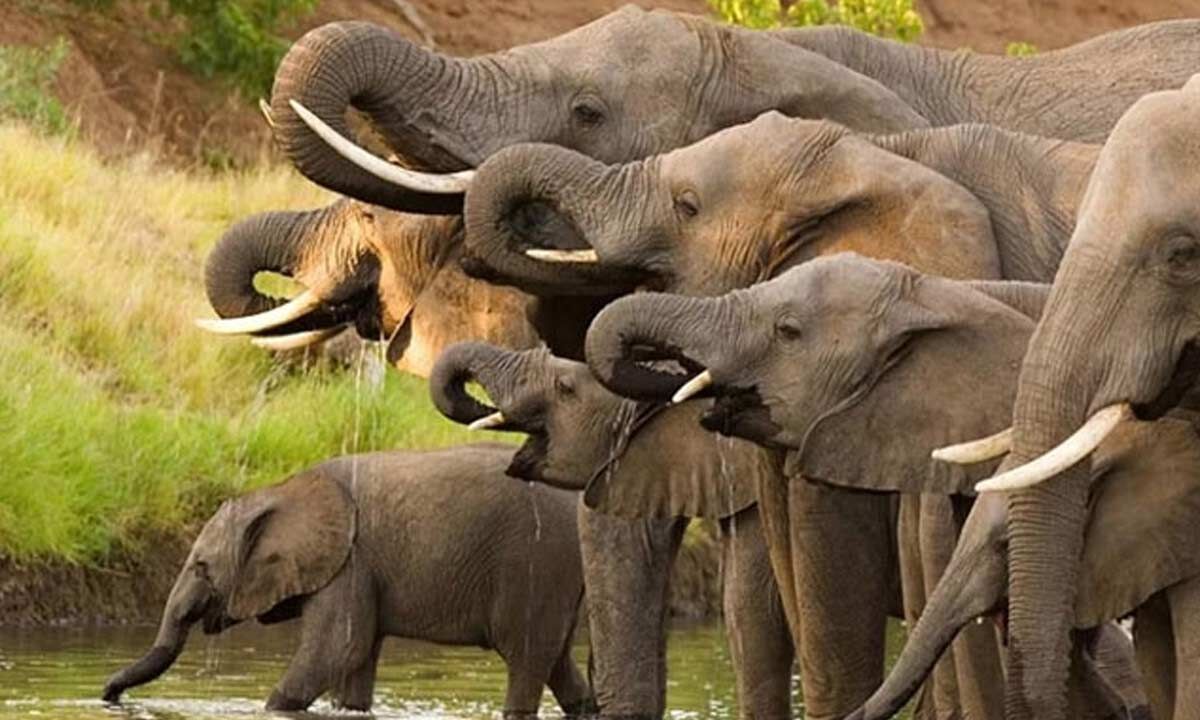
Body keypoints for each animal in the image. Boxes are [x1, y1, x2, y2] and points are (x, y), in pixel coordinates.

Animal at [101, 444, 594, 717]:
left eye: (201, 567)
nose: (107, 695)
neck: (282, 489)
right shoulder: (360, 570)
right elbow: (354, 661)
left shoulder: (349, 563)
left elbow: (338, 648)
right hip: (558, 573)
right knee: (557, 662)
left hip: (536, 563)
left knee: (527, 659)